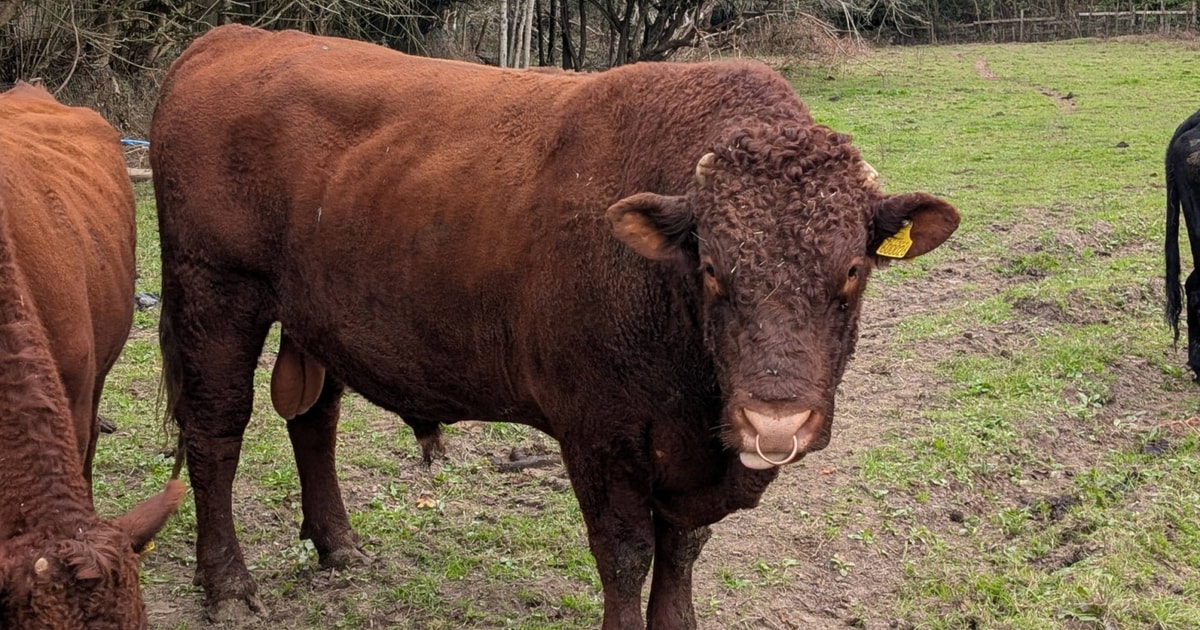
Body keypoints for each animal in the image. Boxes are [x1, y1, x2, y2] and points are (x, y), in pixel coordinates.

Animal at [150, 24, 960, 628]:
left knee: (313, 419)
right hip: (214, 295)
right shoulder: (599, 434)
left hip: (313, 317)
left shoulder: (688, 456)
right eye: (710, 269)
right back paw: (227, 585)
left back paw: (339, 546)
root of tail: (227, 39)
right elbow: (627, 556)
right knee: (216, 431)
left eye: (850, 270)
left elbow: (682, 553)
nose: (775, 421)